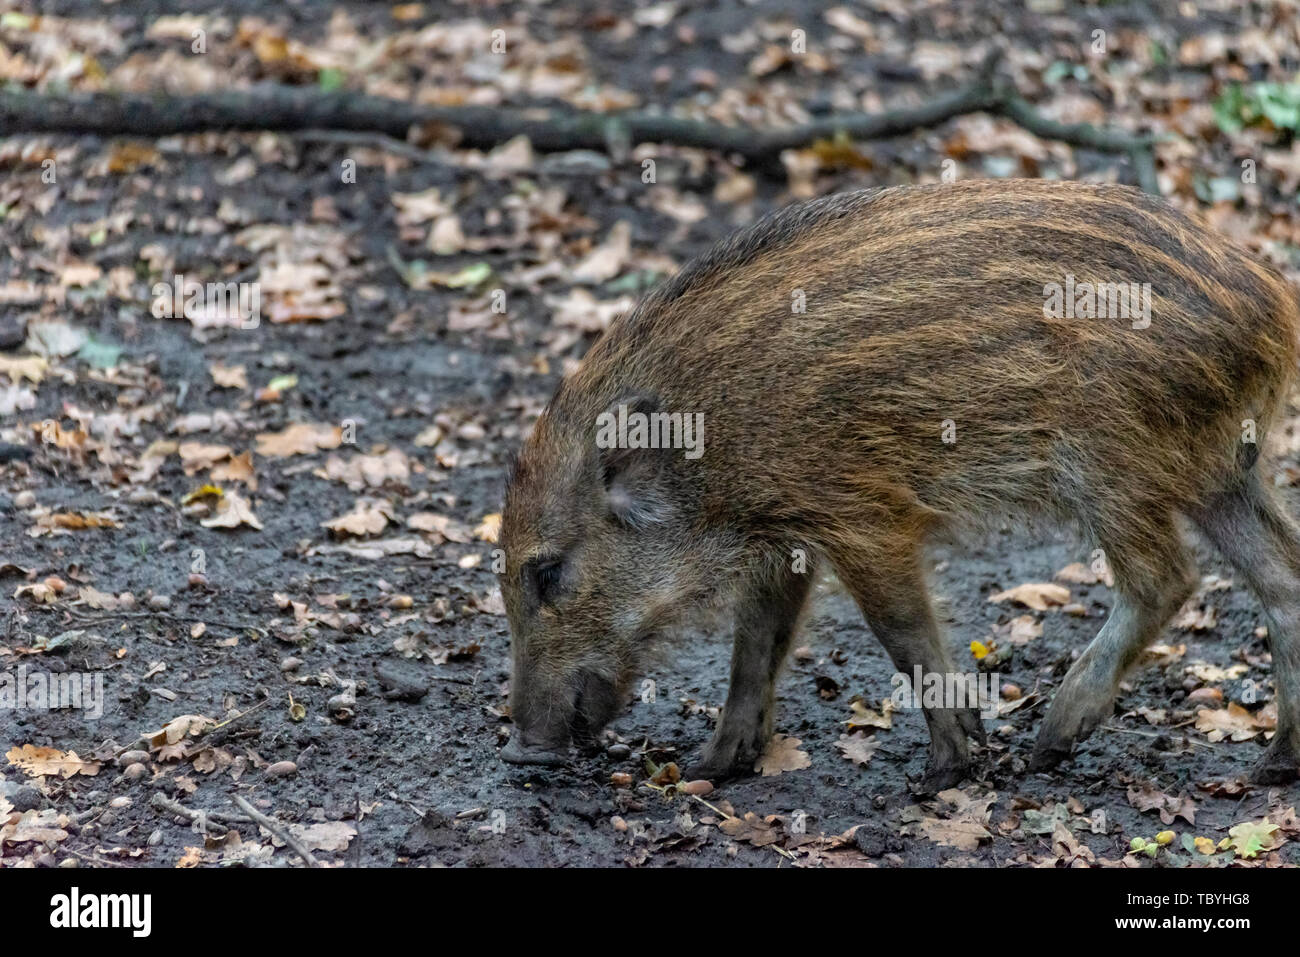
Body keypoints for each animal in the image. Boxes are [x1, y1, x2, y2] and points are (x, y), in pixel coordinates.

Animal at [499, 179, 1300, 788]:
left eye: (547, 571)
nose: (523, 748)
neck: (712, 448)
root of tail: (1274, 299)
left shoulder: (863, 512)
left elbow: (901, 633)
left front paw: (945, 770)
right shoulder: (786, 535)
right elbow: (756, 641)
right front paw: (712, 768)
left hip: (1112, 460)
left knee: (1168, 578)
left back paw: (1052, 739)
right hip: (1219, 467)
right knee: (1281, 574)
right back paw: (1272, 765)